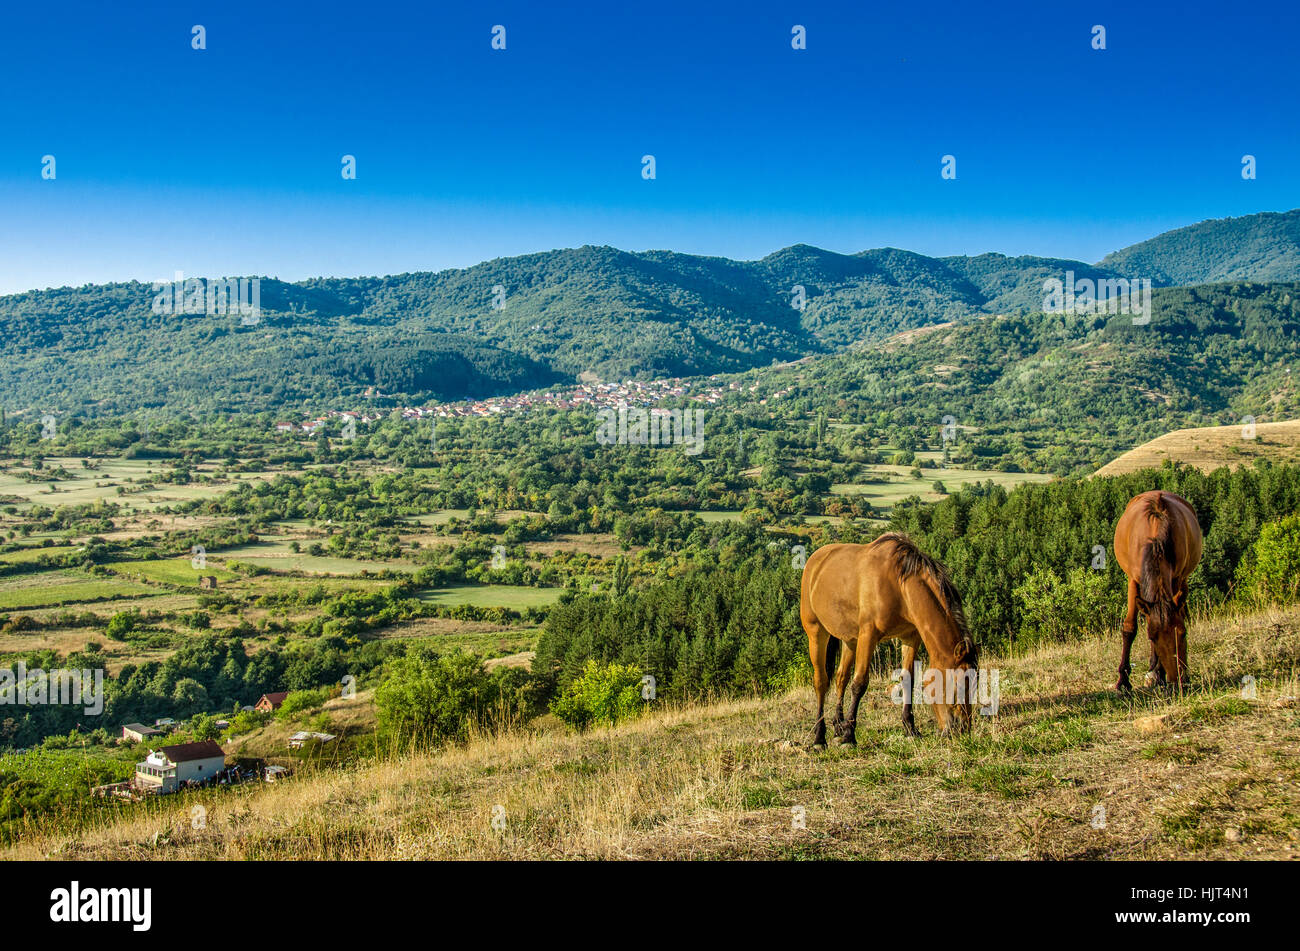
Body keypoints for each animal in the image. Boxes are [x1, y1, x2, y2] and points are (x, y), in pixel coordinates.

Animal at [799, 534, 979, 749]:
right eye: (958, 684)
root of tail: (814, 561)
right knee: (821, 682)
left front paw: (910, 729)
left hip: (850, 640)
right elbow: (859, 684)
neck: (899, 586)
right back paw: (820, 738)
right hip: (817, 633)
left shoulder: (910, 636)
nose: (961, 729)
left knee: (841, 678)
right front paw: (850, 736)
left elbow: (908, 679)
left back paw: (837, 728)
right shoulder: (868, 635)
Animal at [1113, 490, 1203, 692]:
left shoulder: (1176, 578)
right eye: (1153, 637)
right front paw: (1123, 680)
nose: (1177, 681)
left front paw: (1158, 673)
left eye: (1182, 633)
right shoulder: (1133, 581)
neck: (1154, 540)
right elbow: (1130, 628)